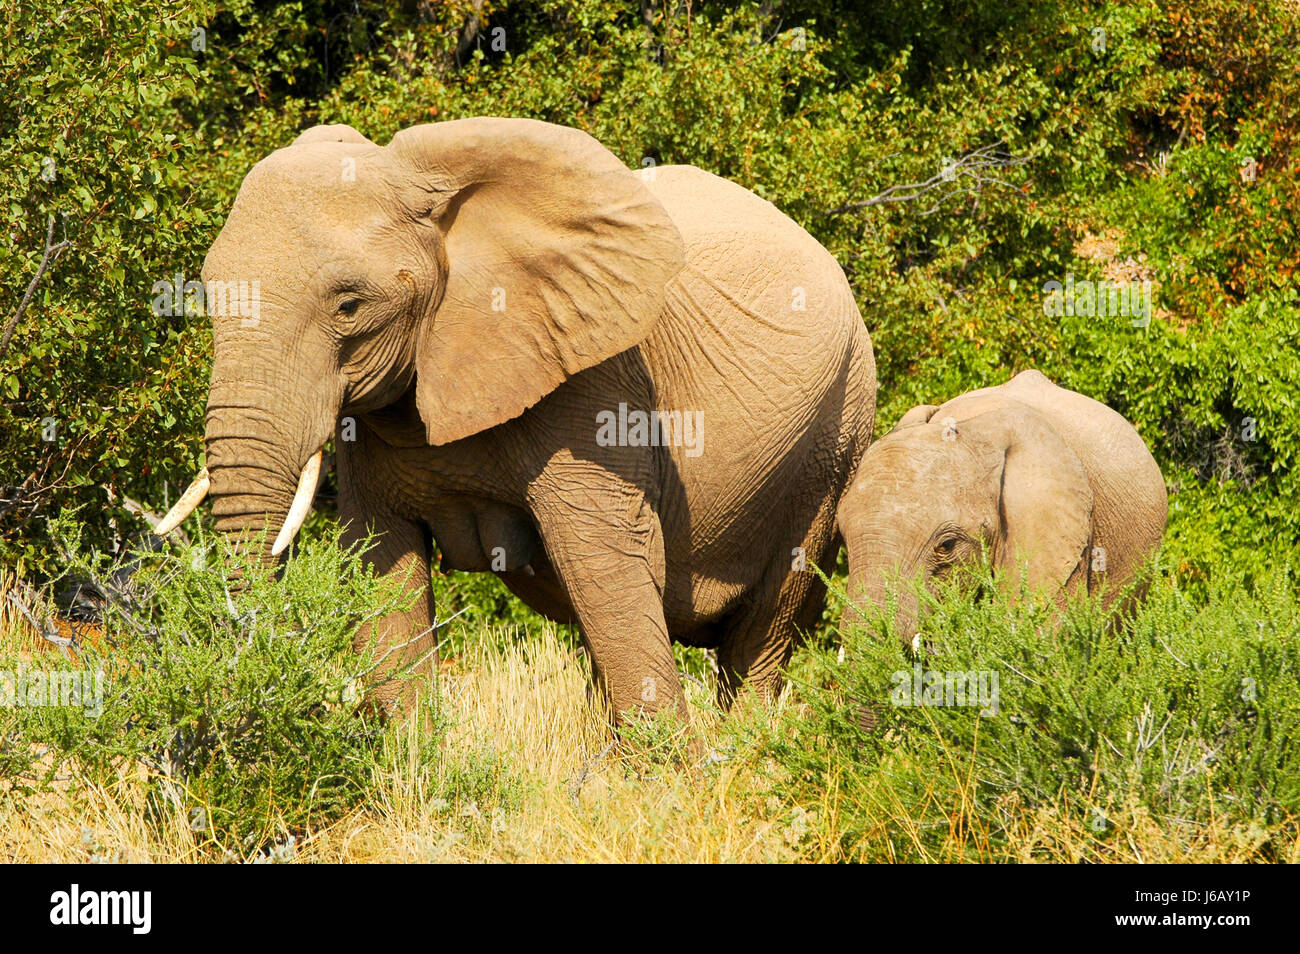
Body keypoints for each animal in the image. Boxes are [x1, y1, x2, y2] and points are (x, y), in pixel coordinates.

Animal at [156, 117, 877, 725]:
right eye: (208, 293)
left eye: (349, 305)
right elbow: (383, 567)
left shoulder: (596, 384)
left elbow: (607, 562)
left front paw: (663, 789)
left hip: (833, 438)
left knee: (758, 633)